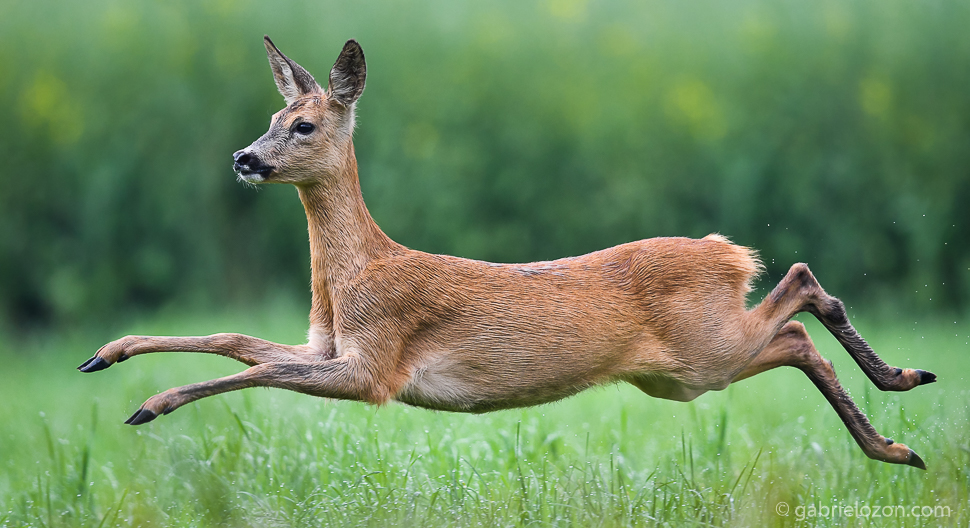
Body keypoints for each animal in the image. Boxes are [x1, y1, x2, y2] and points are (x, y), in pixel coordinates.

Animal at [79, 36, 935, 469]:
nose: (244, 159)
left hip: (701, 356)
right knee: (794, 313)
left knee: (795, 304)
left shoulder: (375, 367)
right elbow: (237, 342)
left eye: (304, 125)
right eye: (268, 116)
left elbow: (256, 370)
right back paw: (898, 418)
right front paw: (106, 355)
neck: (353, 277)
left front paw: (150, 404)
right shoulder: (329, 344)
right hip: (678, 373)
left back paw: (898, 418)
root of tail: (727, 253)